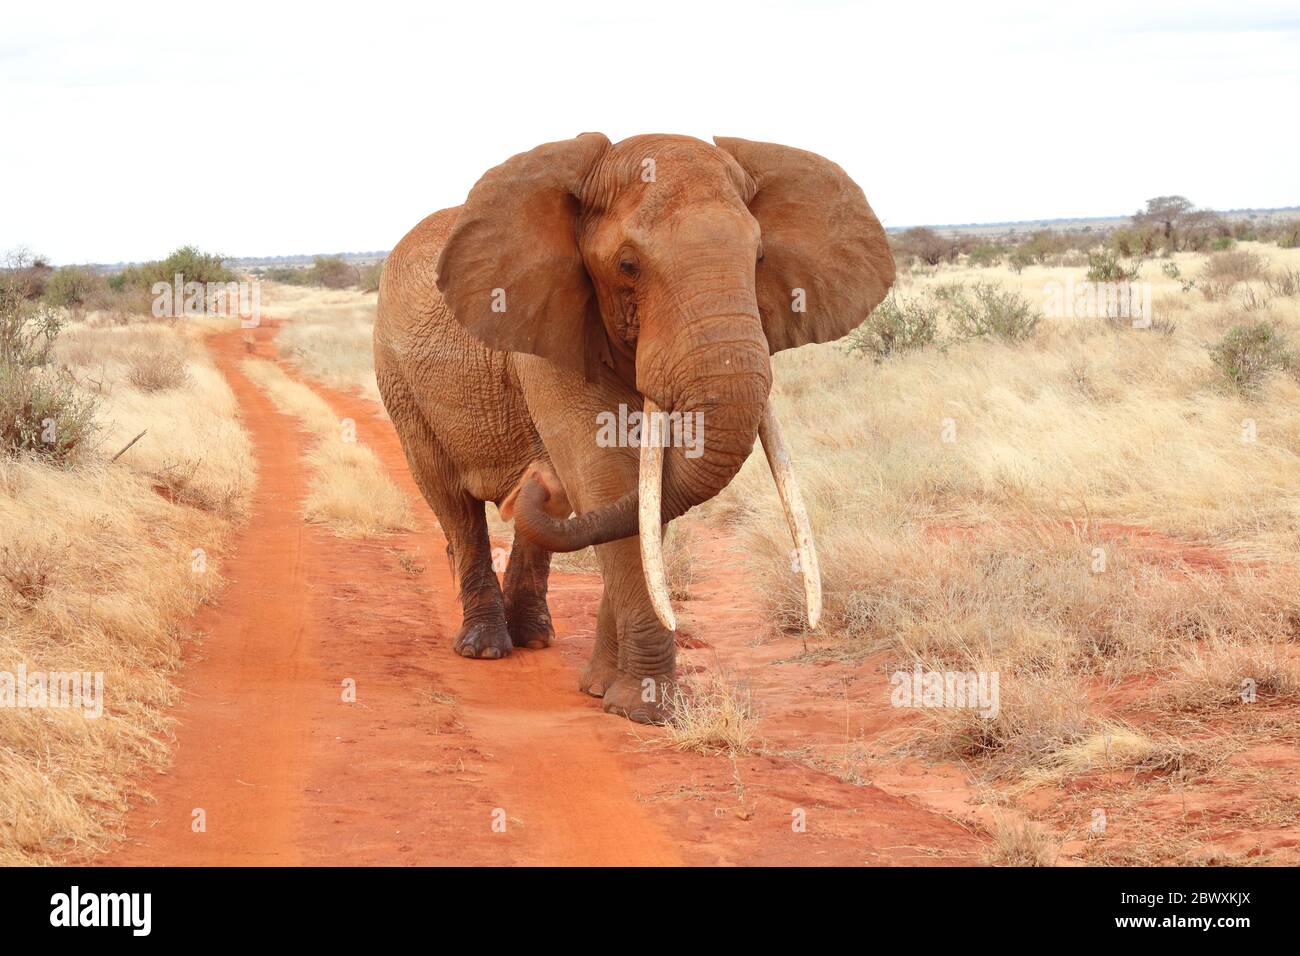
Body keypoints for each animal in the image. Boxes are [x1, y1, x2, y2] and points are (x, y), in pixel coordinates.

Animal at [374, 133, 894, 723]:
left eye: (760, 257)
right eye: (627, 265)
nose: (536, 481)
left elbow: (646, 498)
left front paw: (603, 691)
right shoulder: (548, 328)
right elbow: (606, 478)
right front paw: (642, 710)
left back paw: (534, 635)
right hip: (399, 384)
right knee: (452, 503)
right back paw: (485, 648)